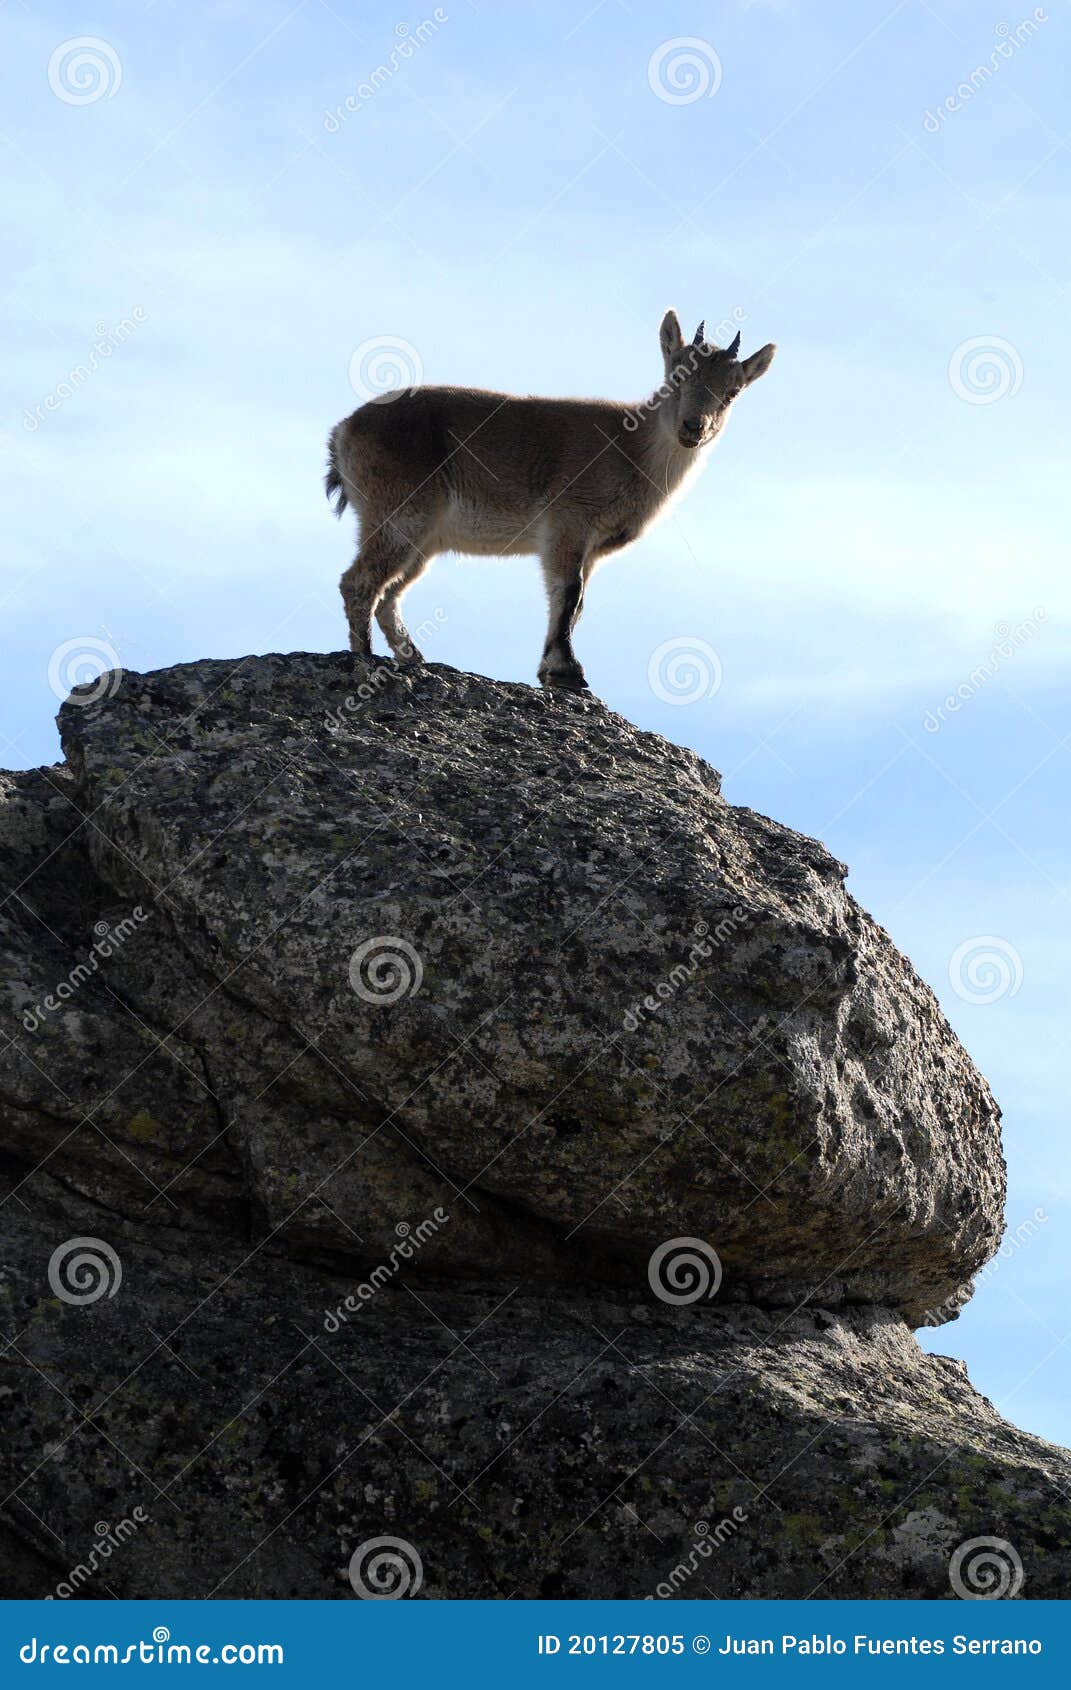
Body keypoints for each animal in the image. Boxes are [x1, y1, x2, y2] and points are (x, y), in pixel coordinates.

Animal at [326, 310, 775, 691]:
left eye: (732, 392)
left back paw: (413, 658)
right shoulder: (568, 521)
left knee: (389, 594)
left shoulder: (593, 546)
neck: (631, 449)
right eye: (676, 375)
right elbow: (568, 591)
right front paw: (568, 672)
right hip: (400, 511)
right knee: (360, 582)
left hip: (424, 539)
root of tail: (343, 432)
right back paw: (364, 658)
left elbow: (576, 603)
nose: (692, 427)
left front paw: (552, 670)